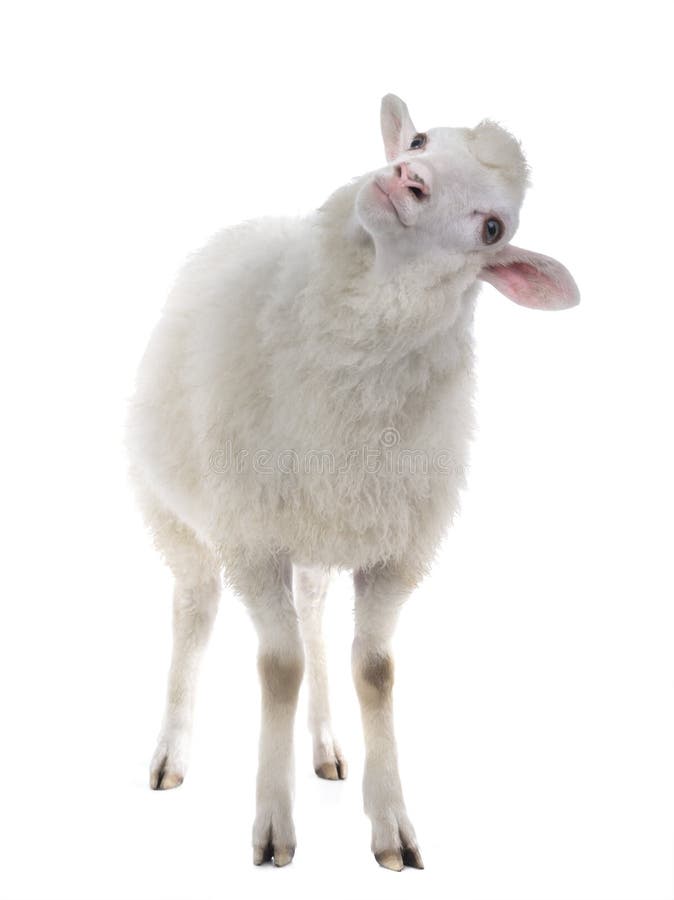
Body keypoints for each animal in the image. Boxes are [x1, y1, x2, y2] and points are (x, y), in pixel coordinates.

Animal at [126, 93, 579, 871]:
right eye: (422, 139)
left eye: (492, 228)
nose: (406, 177)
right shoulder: (253, 541)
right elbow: (278, 668)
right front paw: (273, 826)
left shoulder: (395, 556)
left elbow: (375, 671)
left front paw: (391, 822)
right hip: (176, 513)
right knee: (194, 610)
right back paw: (172, 753)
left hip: (321, 527)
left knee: (311, 618)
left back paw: (327, 746)